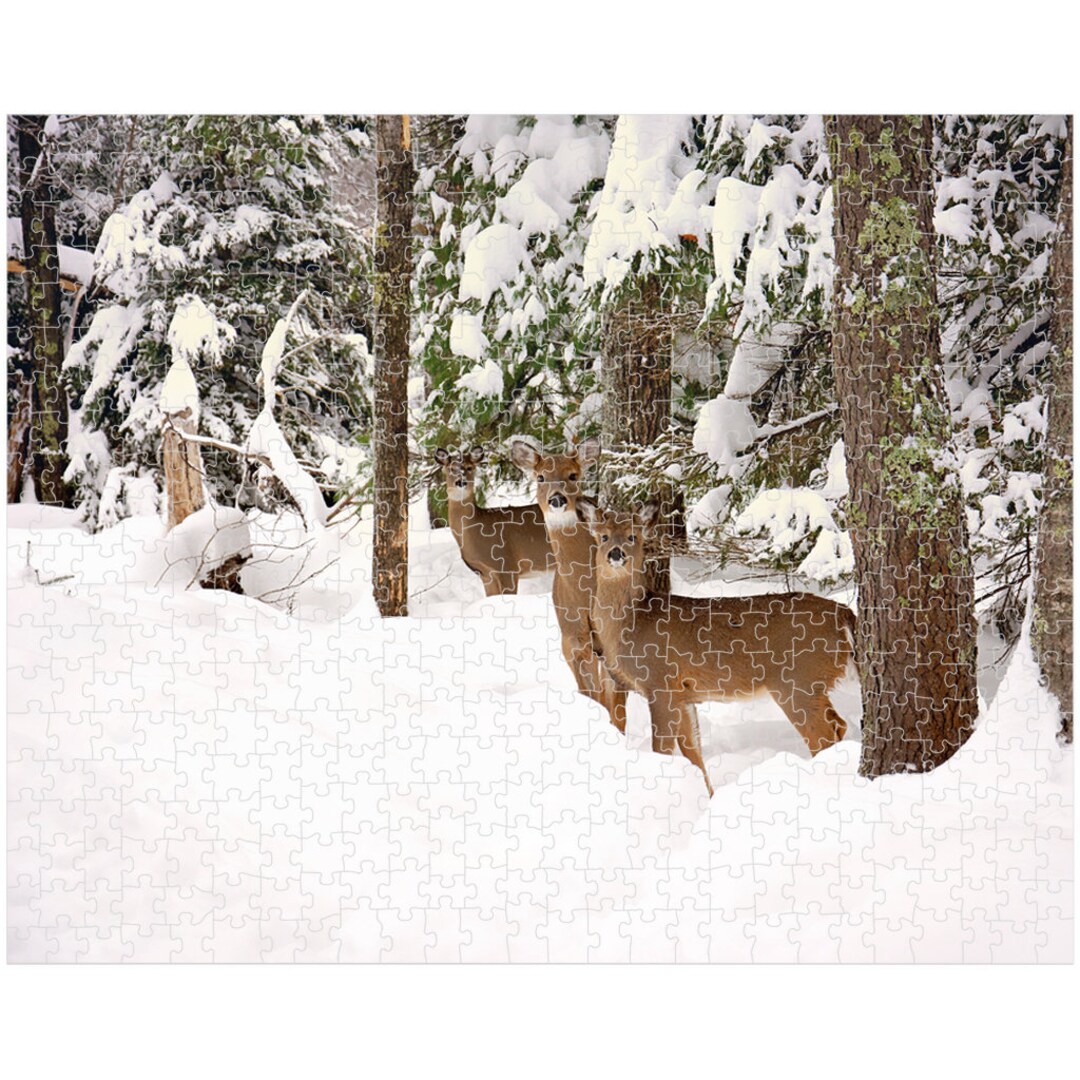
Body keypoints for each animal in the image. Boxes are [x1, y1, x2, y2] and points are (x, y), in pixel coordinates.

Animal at [509, 437, 628, 733]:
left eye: (573, 475)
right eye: (541, 477)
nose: (557, 498)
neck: (585, 594)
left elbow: (616, 708)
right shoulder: (572, 643)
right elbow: (592, 698)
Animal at [579, 500, 858, 797]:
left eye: (633, 536)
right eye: (604, 536)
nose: (616, 553)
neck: (631, 623)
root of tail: (844, 614)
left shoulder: (660, 682)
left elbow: (663, 749)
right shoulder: (684, 695)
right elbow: (693, 751)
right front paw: (708, 797)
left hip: (798, 680)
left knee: (823, 735)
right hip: (810, 682)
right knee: (839, 726)